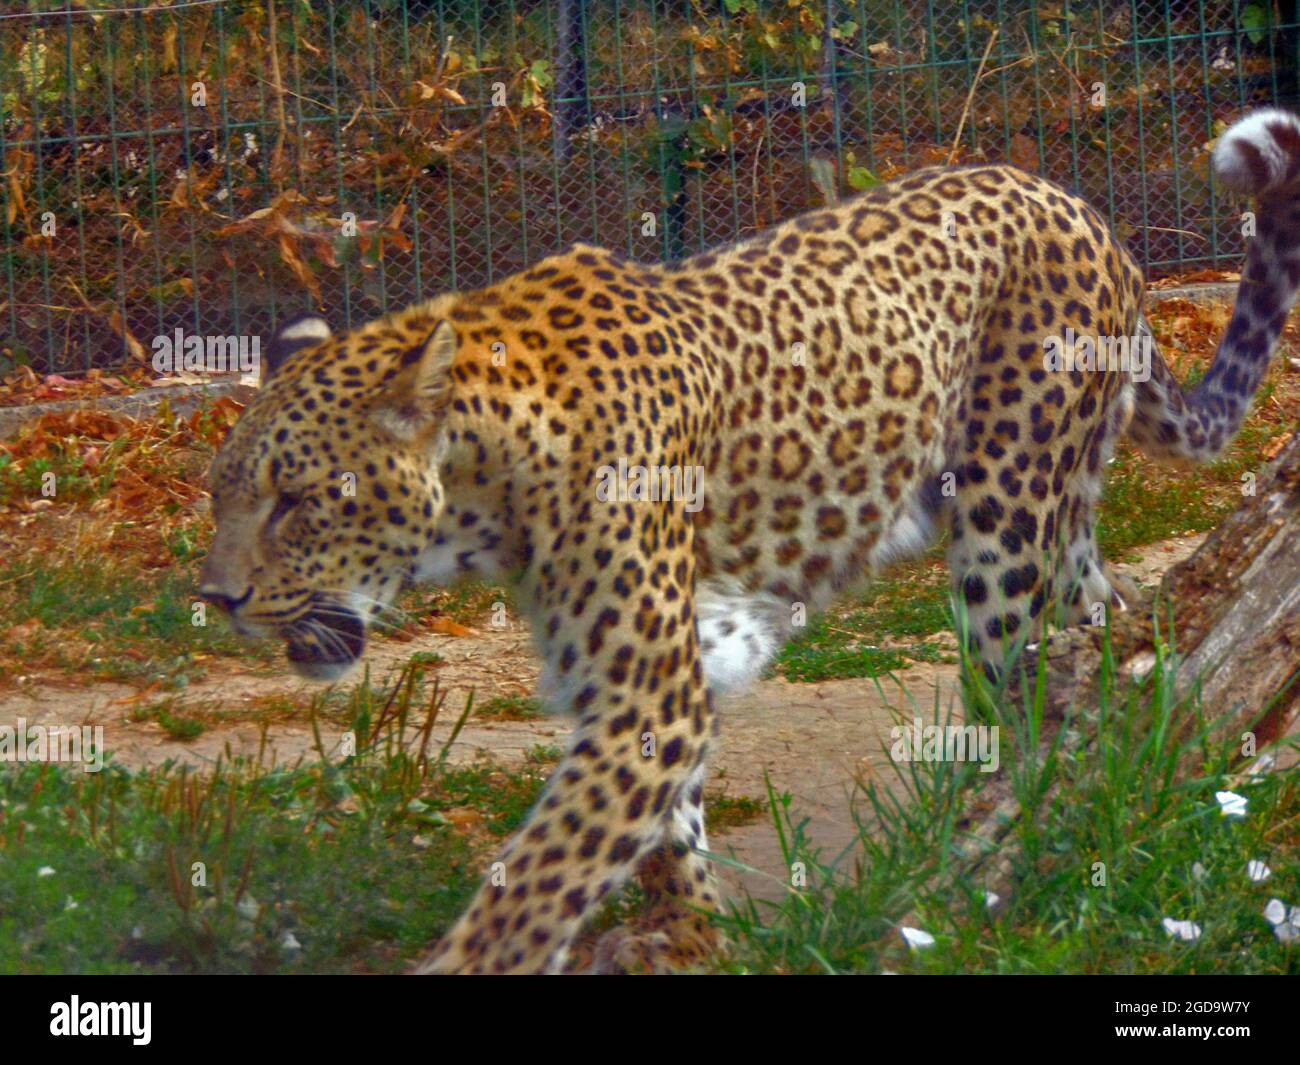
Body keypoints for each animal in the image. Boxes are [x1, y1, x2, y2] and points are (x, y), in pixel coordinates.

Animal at [201, 109, 1300, 974]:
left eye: (297, 500)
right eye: (221, 494)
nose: (215, 599)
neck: (484, 479)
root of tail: (1079, 205)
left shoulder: (644, 695)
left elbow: (537, 885)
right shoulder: (645, 671)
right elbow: (664, 828)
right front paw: (686, 935)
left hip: (1004, 516)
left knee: (1018, 689)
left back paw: (987, 846)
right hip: (1060, 511)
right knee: (1110, 630)